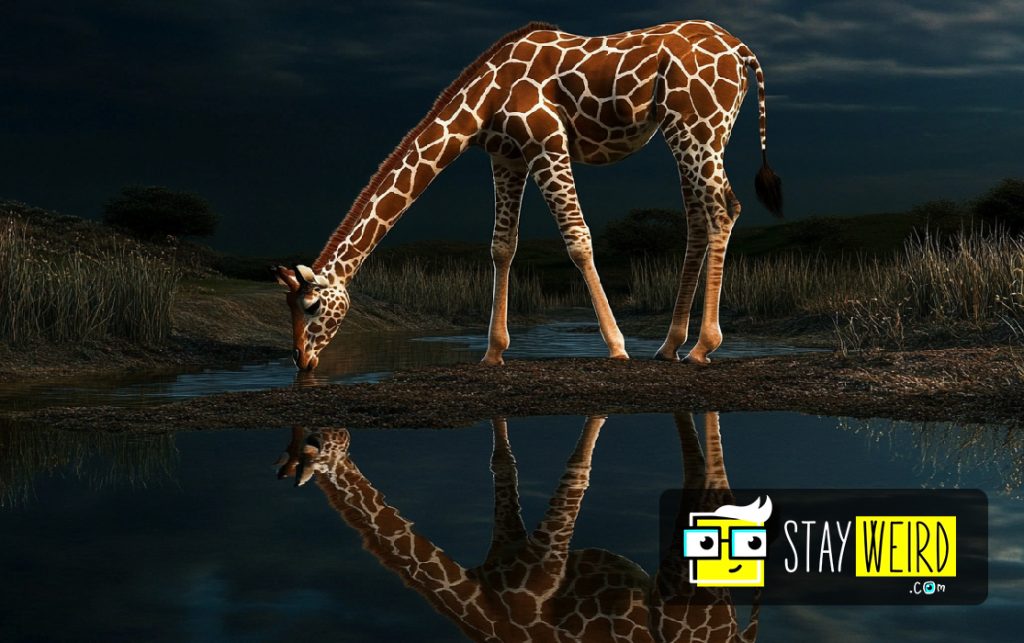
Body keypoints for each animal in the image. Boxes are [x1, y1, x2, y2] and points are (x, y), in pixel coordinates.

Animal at [274, 20, 782, 370]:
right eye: (289, 307)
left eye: (311, 306)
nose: (301, 360)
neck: (482, 98)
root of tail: (742, 51)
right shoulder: (507, 157)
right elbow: (502, 246)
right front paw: (493, 353)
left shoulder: (546, 141)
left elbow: (578, 239)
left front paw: (616, 347)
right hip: (698, 132)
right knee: (701, 215)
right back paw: (670, 345)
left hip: (696, 126)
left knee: (722, 209)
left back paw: (702, 346)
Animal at [277, 413, 761, 642]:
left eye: (313, 444)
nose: (338, 431)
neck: (489, 600)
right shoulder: (507, 542)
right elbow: (503, 463)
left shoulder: (543, 564)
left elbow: (578, 472)